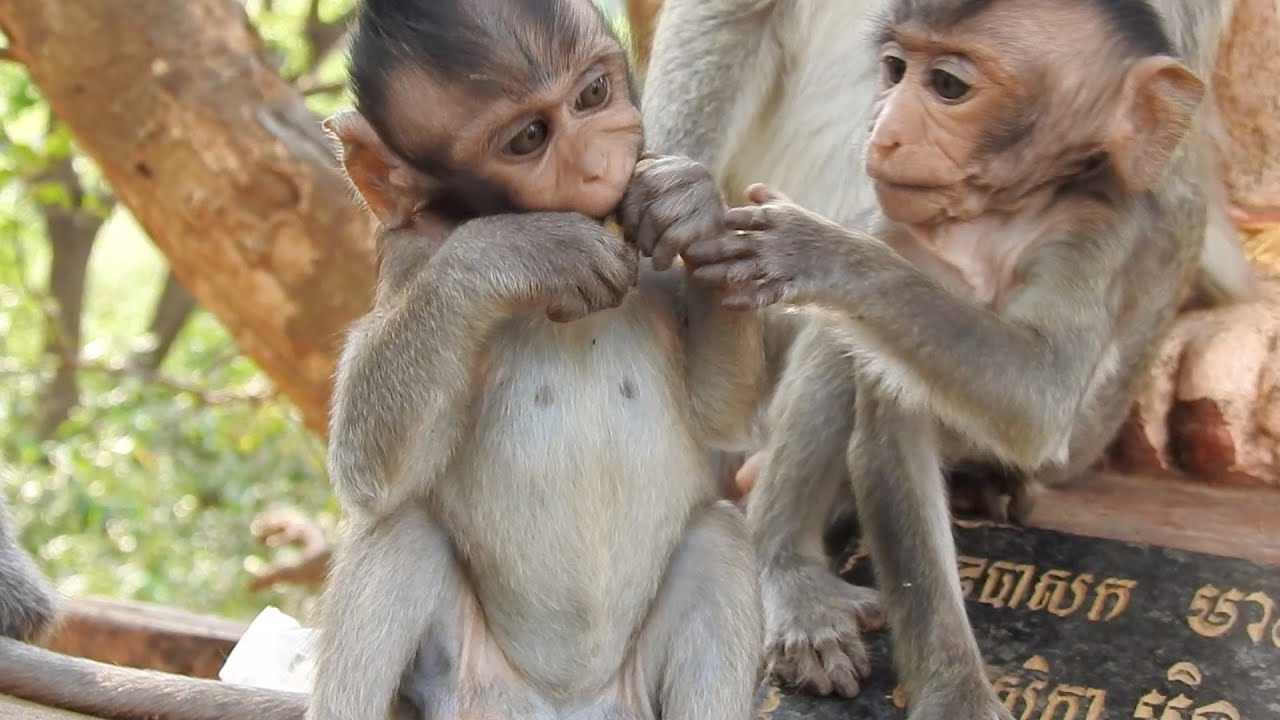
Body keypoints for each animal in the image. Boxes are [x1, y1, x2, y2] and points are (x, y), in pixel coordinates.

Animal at [308, 0, 765, 718]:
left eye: (593, 95)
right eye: (528, 138)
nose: (601, 165)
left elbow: (723, 416)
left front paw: (690, 199)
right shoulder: (414, 252)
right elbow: (367, 468)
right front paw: (524, 250)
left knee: (717, 543)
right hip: (474, 690)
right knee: (398, 532)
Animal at [668, 1, 1228, 718]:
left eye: (948, 86)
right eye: (894, 68)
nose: (881, 131)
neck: (990, 218)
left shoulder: (1091, 229)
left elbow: (1039, 393)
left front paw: (815, 250)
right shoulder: (898, 226)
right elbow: (893, 433)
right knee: (842, 347)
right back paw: (786, 572)